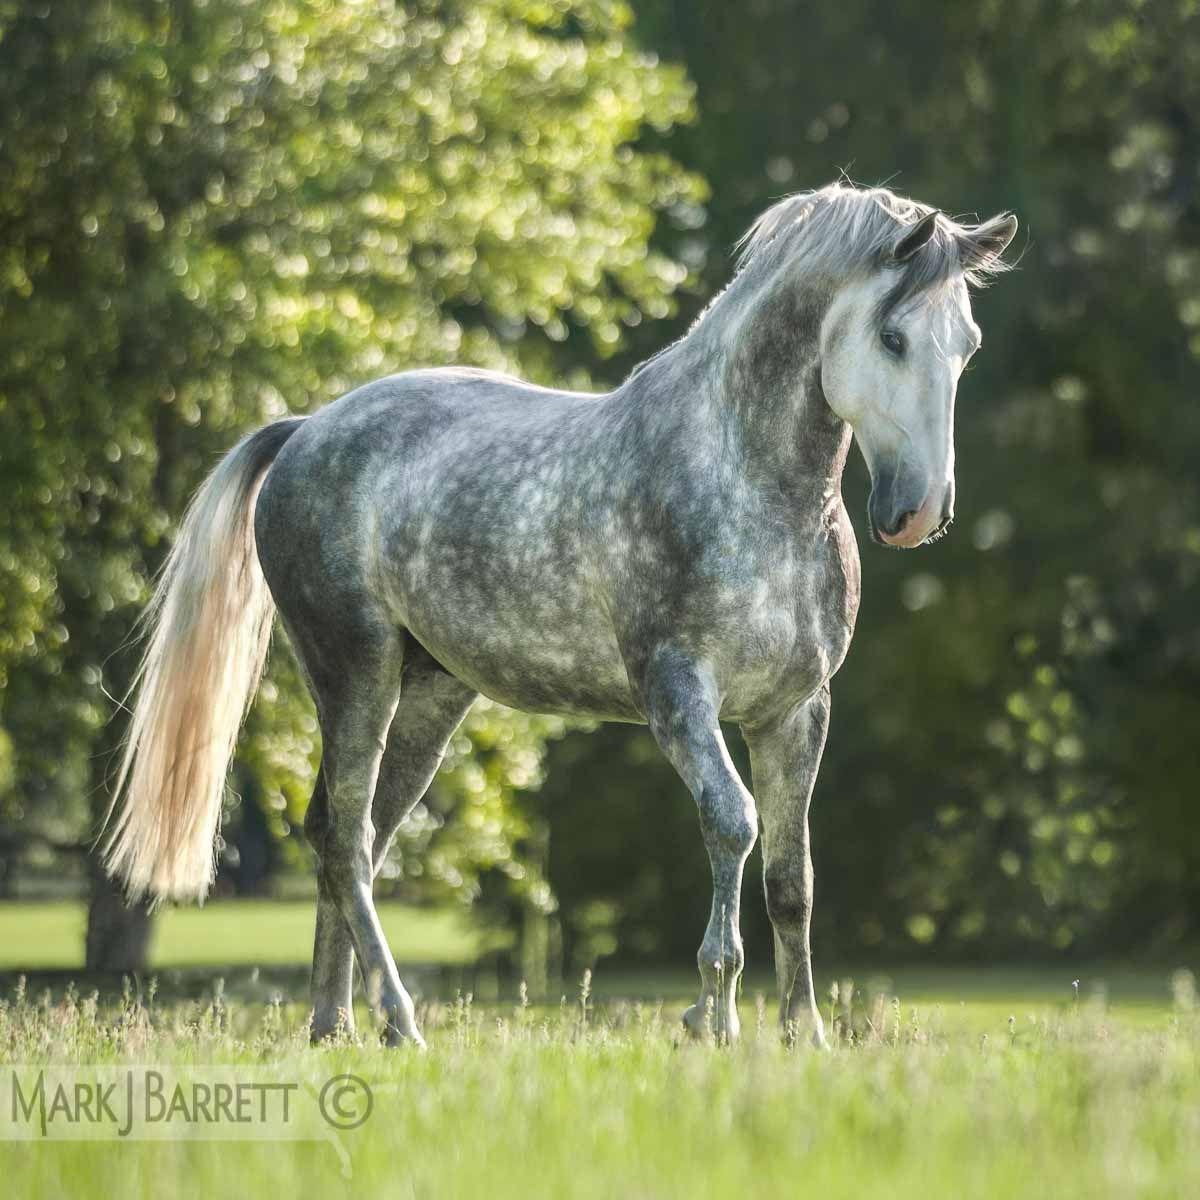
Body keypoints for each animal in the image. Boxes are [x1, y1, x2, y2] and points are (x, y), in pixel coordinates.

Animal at [104, 182, 1017, 1046]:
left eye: (969, 346)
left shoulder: (795, 710)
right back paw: (399, 1020)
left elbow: (793, 878)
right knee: (350, 841)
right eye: (893, 338)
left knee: (344, 833)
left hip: (431, 695)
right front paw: (712, 1017)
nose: (918, 513)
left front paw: (805, 1033)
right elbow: (734, 824)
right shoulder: (679, 695)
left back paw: (335, 1026)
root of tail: (304, 431)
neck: (749, 482)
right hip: (356, 673)